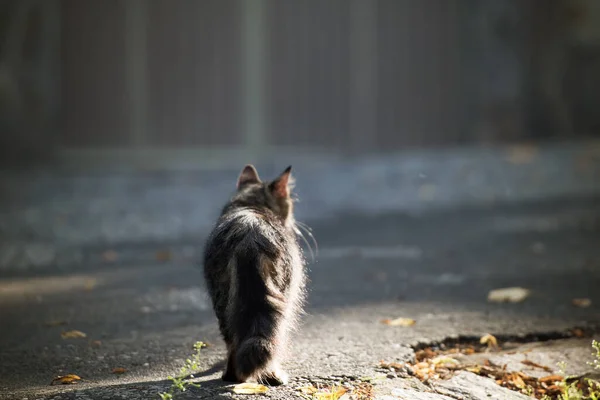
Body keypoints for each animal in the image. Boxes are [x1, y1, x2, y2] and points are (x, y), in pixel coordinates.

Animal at [203, 165, 308, 384]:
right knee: (273, 338)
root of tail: (250, 238)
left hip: (223, 299)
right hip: (284, 294)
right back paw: (272, 375)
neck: (250, 204)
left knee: (233, 340)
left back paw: (233, 376)